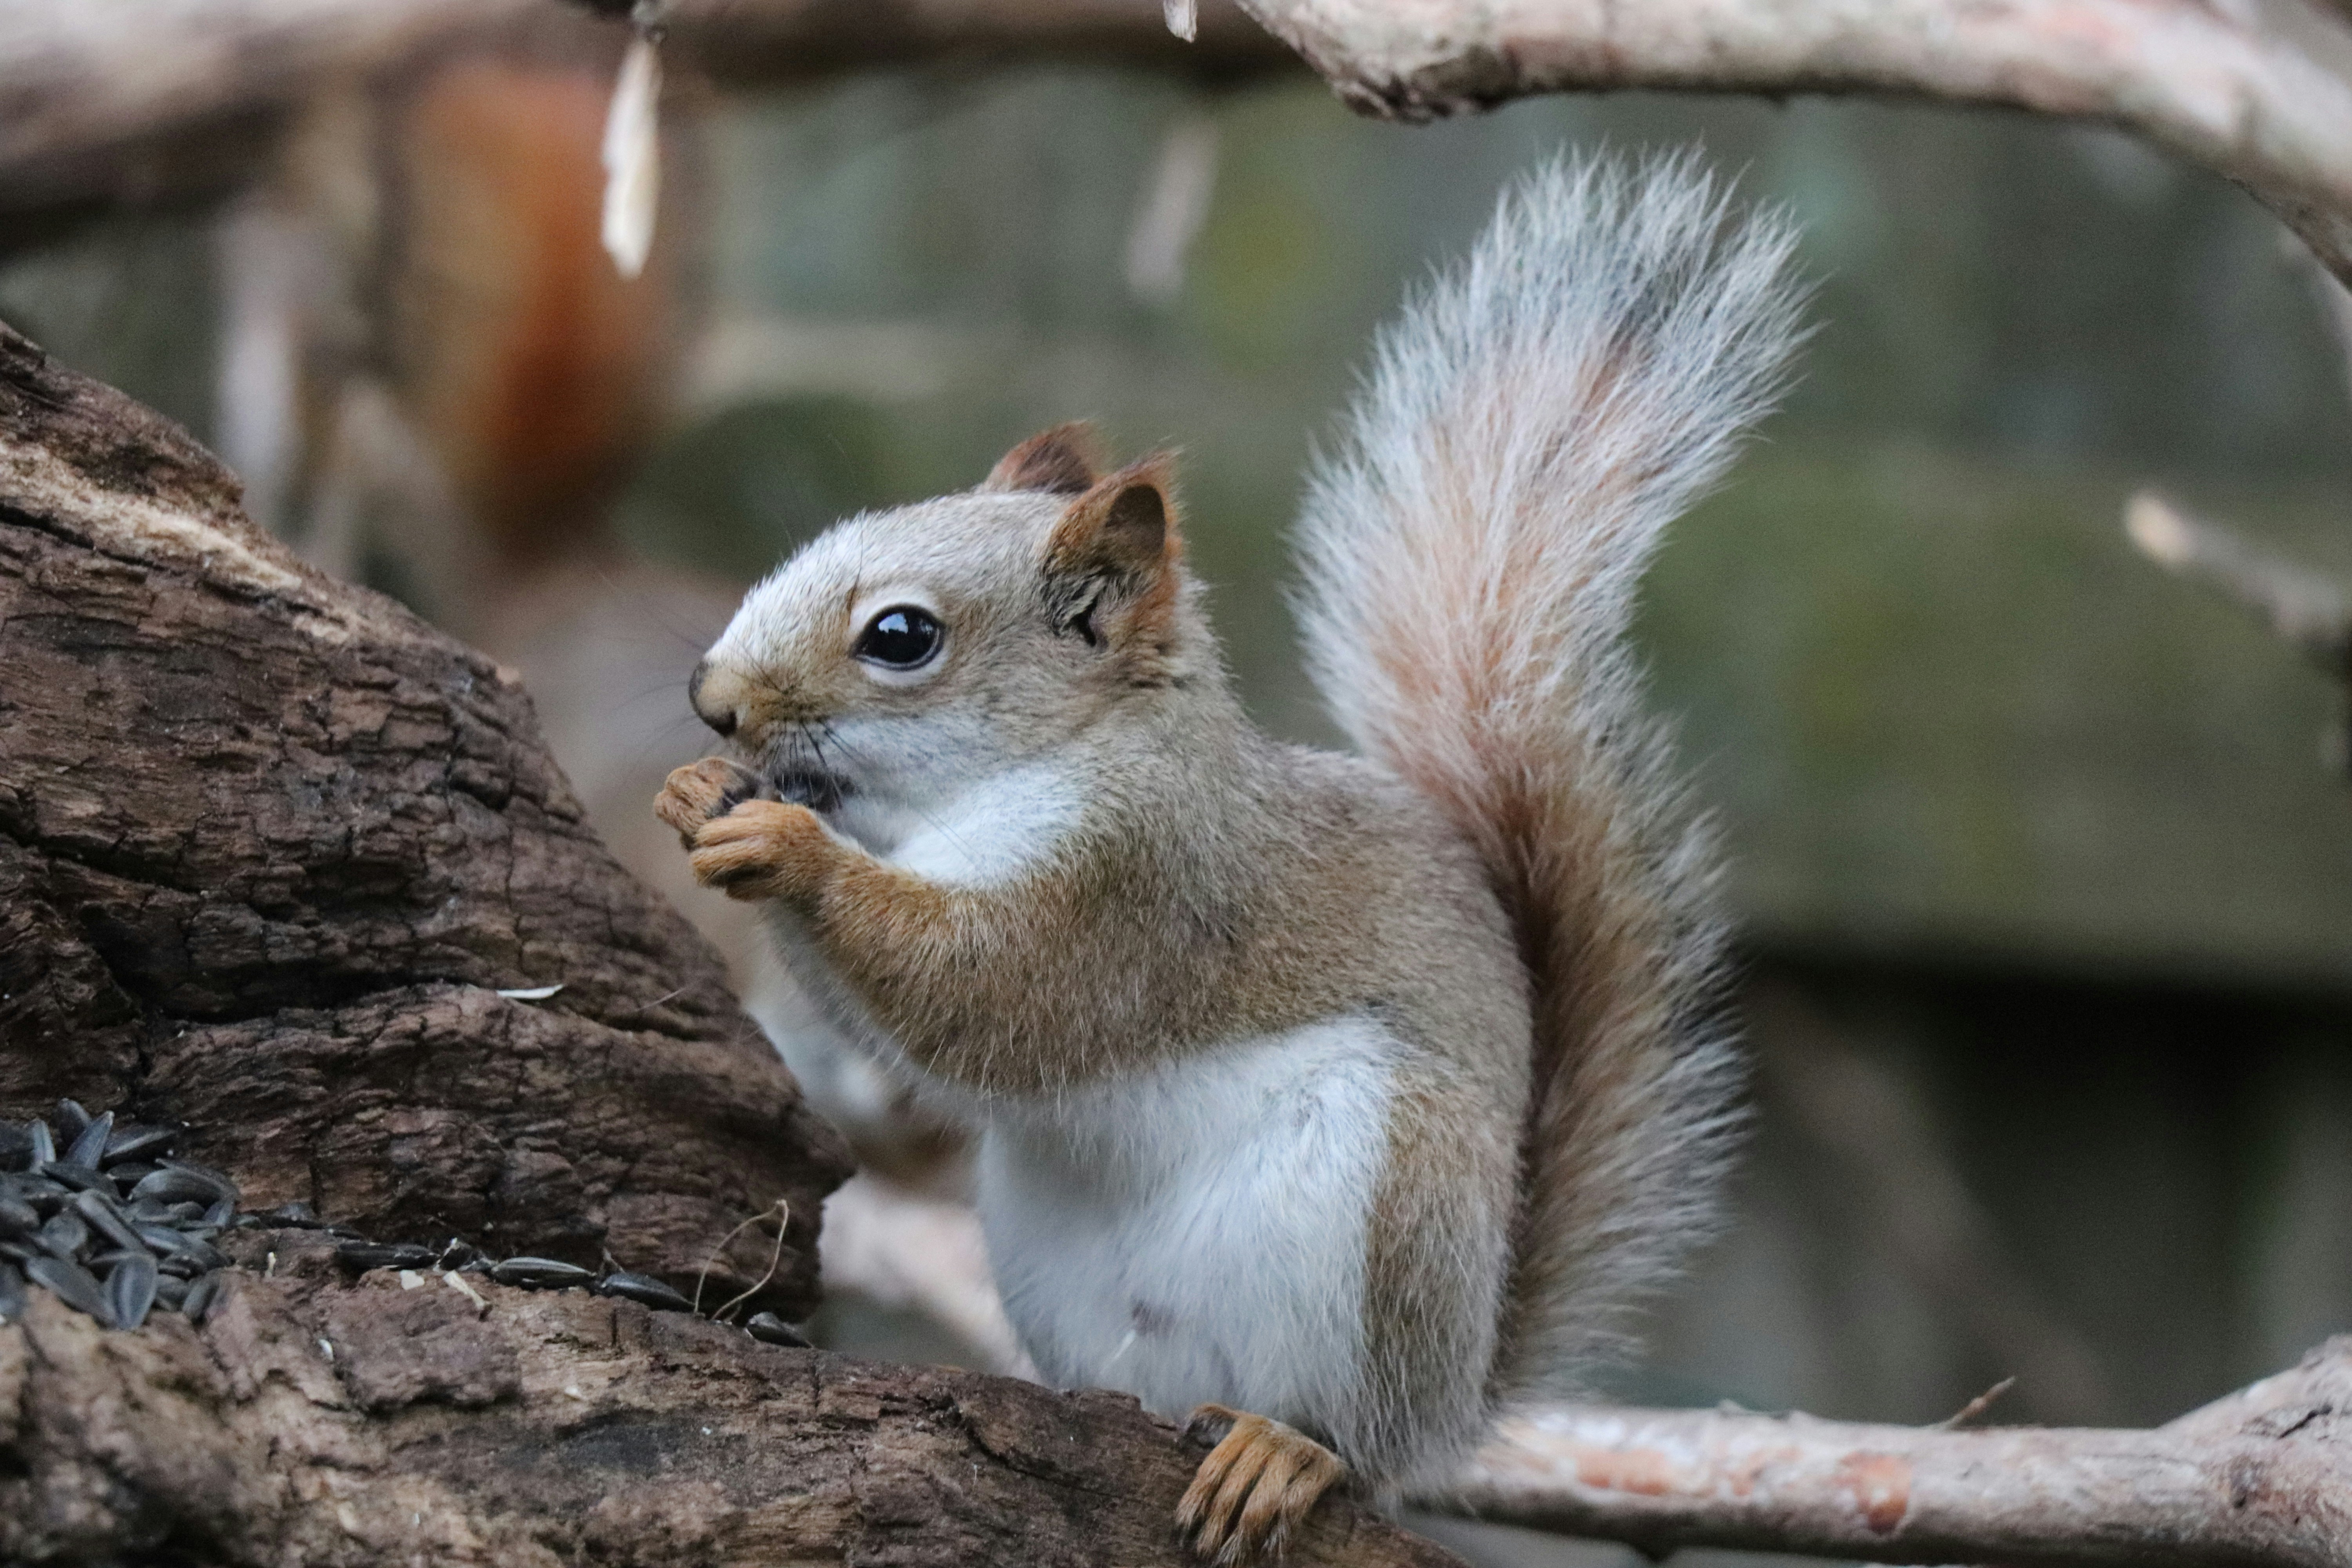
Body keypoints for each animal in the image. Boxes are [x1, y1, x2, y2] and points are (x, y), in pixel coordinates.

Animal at [657, 153, 1803, 1562]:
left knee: (1347, 1436)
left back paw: (1286, 1452)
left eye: (902, 637)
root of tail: (1461, 1393)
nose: (711, 700)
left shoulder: (1146, 884)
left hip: (1390, 1209)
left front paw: (788, 850)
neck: (960, 800)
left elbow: (992, 993)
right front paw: (694, 793)